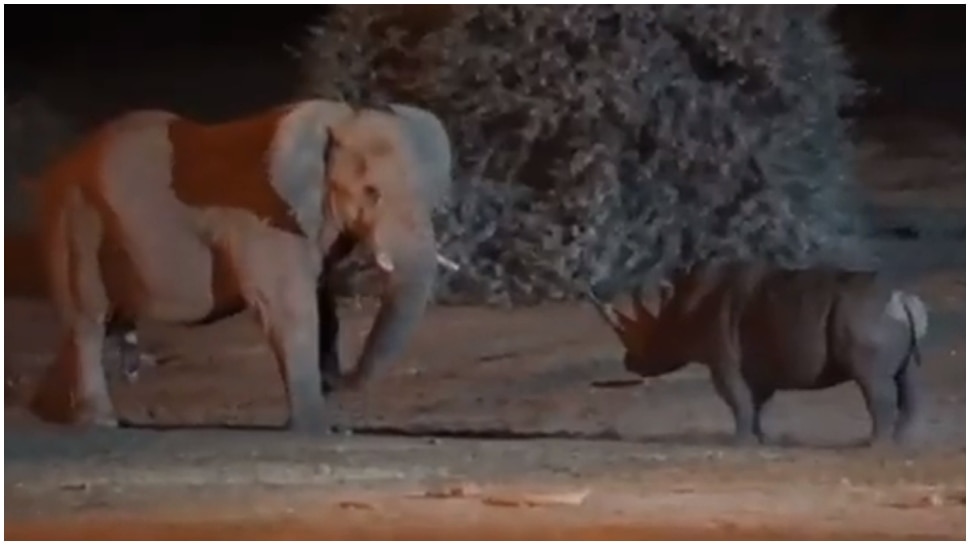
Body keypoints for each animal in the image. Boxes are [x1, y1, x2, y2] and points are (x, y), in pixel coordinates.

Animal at [586, 261, 929, 446]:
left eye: (652, 338)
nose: (629, 362)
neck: (680, 311)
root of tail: (903, 298)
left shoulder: (722, 356)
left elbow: (736, 397)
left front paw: (737, 443)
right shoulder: (759, 362)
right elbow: (755, 400)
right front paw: (760, 439)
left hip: (864, 316)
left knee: (872, 380)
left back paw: (873, 445)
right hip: (879, 317)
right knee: (906, 377)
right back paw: (900, 442)